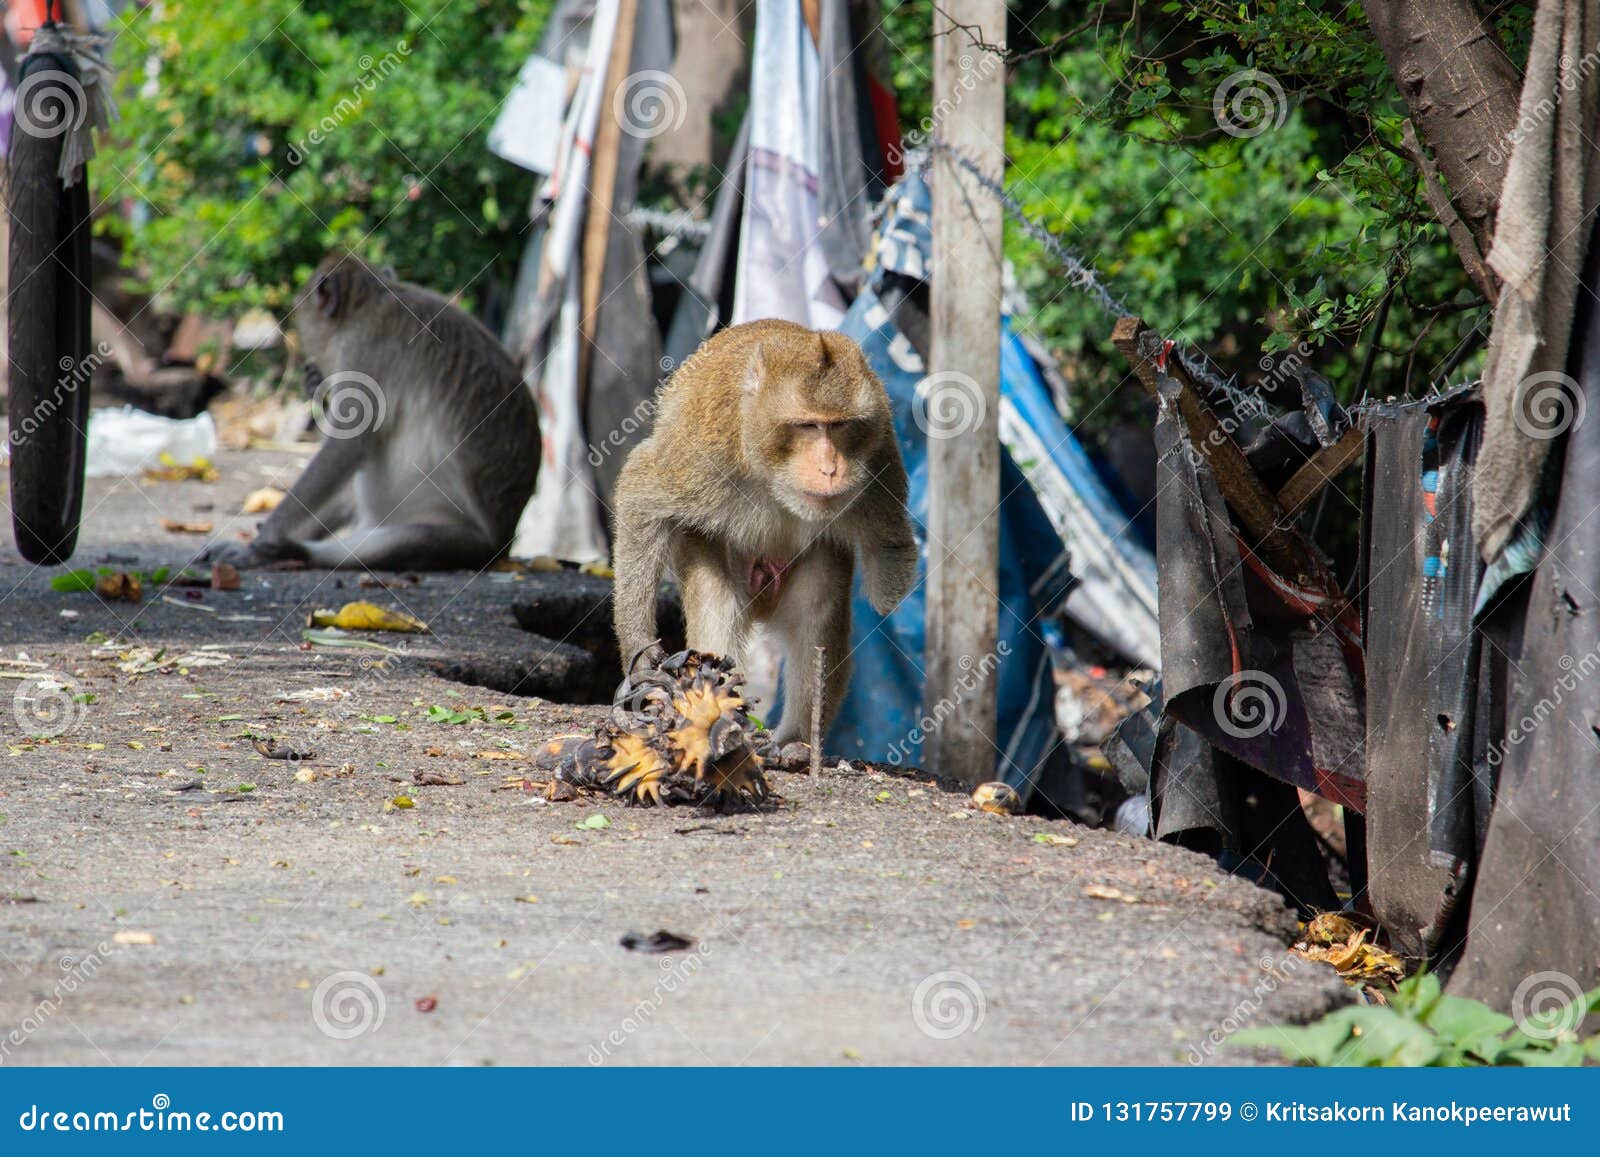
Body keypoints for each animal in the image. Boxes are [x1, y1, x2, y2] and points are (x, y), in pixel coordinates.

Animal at [207, 251, 539, 572]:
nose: (309, 359)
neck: (376, 296)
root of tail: (504, 542)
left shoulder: (363, 352)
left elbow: (348, 446)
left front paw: (257, 545)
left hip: (463, 539)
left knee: (416, 539)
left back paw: (298, 552)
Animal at [612, 319, 918, 747]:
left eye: (839, 426)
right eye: (808, 426)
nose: (830, 469)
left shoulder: (880, 455)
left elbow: (891, 546)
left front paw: (887, 592)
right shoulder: (701, 457)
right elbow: (639, 493)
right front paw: (639, 651)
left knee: (816, 610)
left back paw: (795, 743)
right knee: (716, 598)